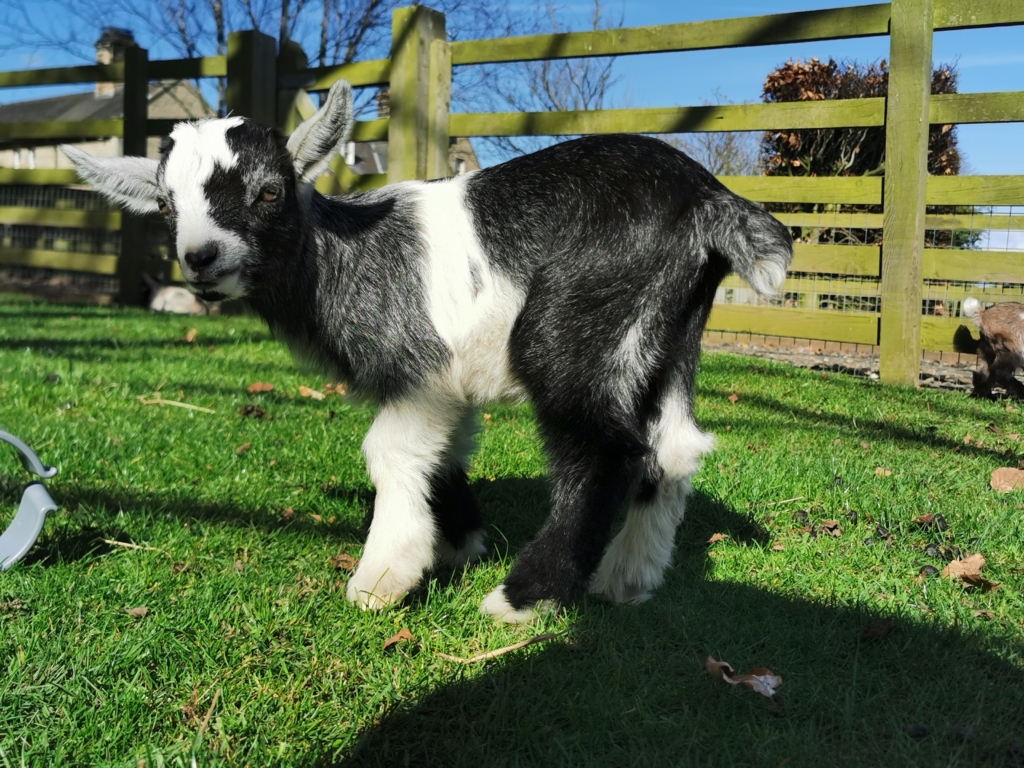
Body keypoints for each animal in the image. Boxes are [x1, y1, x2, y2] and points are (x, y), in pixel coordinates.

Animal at [62, 80, 793, 622]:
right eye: (165, 205)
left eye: (268, 191)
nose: (201, 258)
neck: (342, 254)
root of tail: (711, 200)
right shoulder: (450, 384)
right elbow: (447, 453)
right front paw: (459, 541)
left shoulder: (417, 368)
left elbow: (391, 452)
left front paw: (383, 575)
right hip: (663, 334)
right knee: (673, 448)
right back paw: (628, 579)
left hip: (576, 323)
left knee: (606, 452)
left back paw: (520, 599)